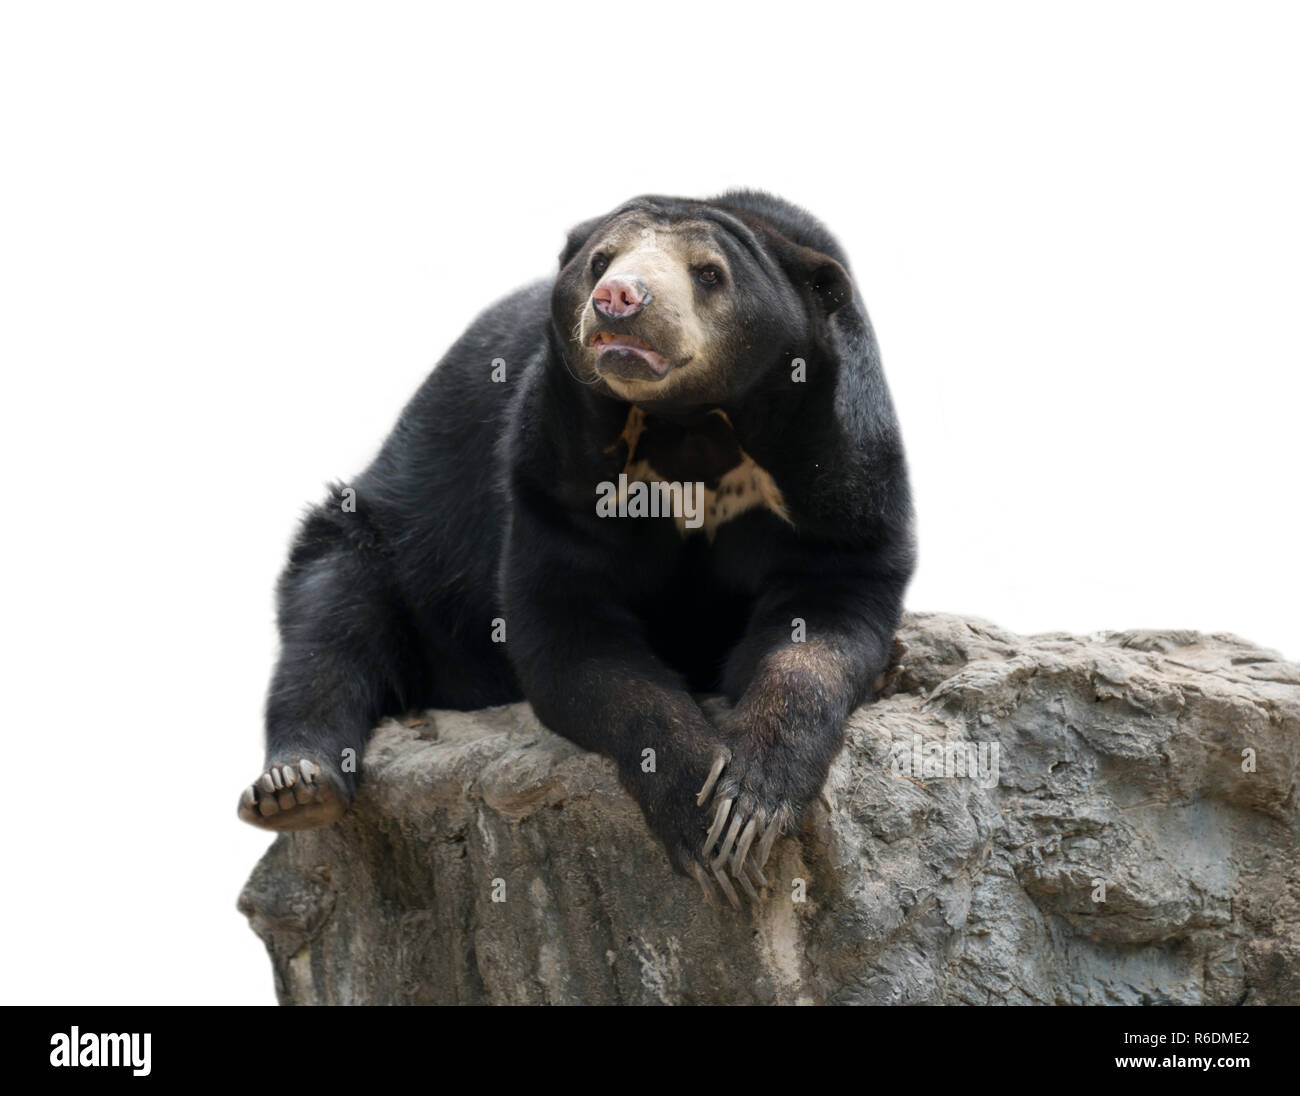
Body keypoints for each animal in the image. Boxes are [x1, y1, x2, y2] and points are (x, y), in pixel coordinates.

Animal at [238, 190, 916, 908]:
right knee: (332, 622)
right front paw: (699, 814)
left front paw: (748, 807)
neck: (691, 428)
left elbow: (824, 622)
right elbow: (572, 633)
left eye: (709, 273)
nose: (620, 297)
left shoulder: (843, 478)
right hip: (384, 535)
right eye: (601, 260)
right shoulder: (552, 477)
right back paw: (295, 786)